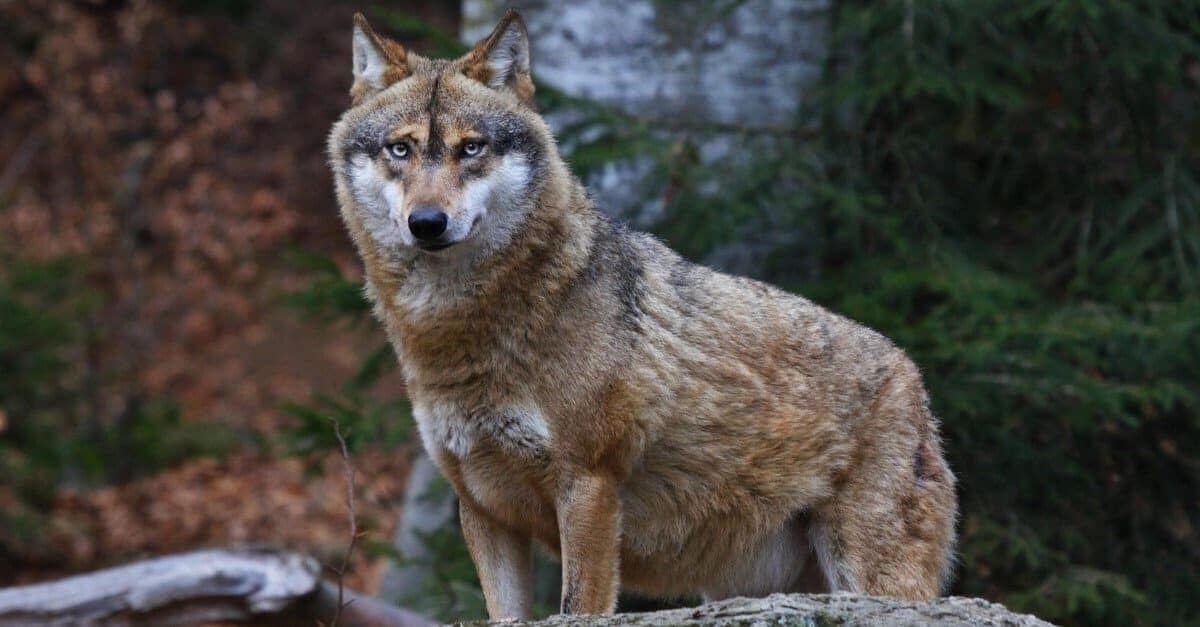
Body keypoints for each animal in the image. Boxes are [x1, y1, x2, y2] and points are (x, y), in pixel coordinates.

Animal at [328, 10, 958, 619]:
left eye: (471, 148)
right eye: (401, 150)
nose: (427, 222)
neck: (459, 332)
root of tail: (914, 377)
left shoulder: (588, 487)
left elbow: (579, 606)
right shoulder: (482, 509)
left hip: (870, 578)